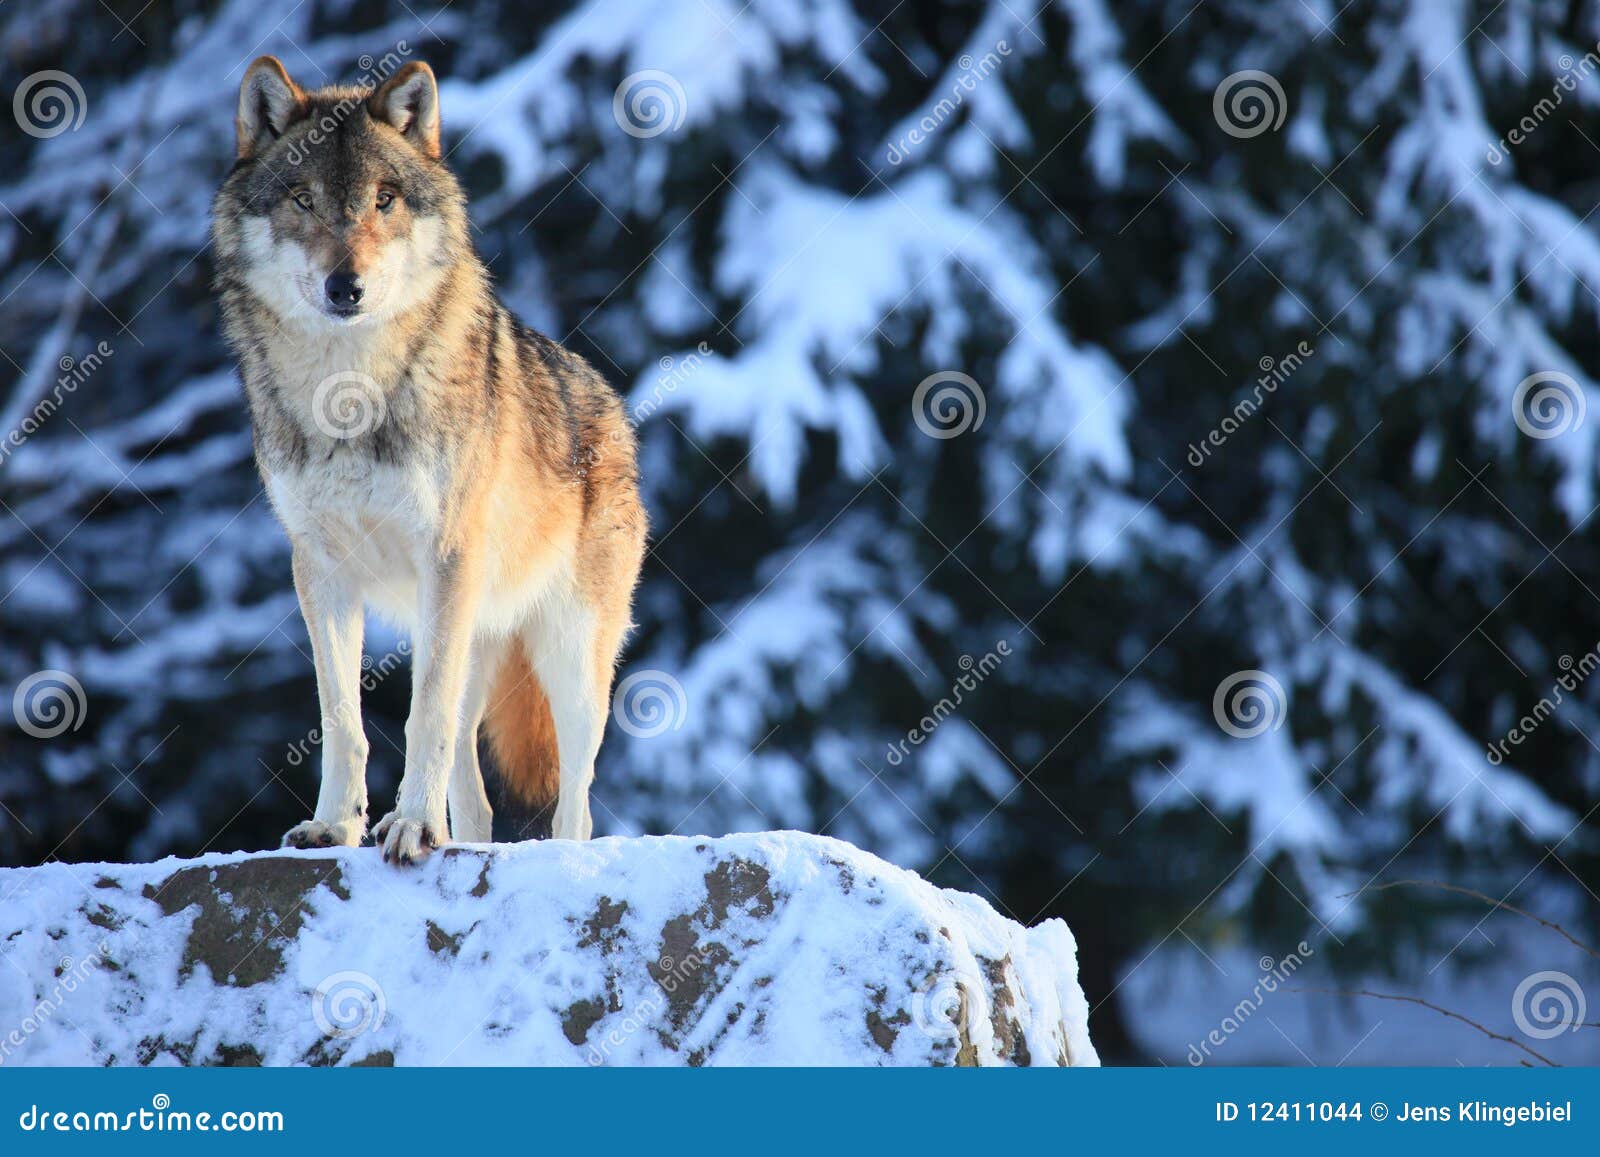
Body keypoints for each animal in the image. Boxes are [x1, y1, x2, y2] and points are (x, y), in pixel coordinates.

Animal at [211, 56, 647, 863]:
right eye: (303, 199)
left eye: (384, 200)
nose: (345, 287)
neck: (347, 392)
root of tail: (610, 401)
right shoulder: (319, 569)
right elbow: (344, 722)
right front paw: (336, 825)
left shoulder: (444, 558)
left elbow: (422, 719)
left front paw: (409, 825)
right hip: (471, 638)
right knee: (476, 796)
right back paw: (462, 844)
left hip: (569, 656)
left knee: (575, 798)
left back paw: (557, 855)